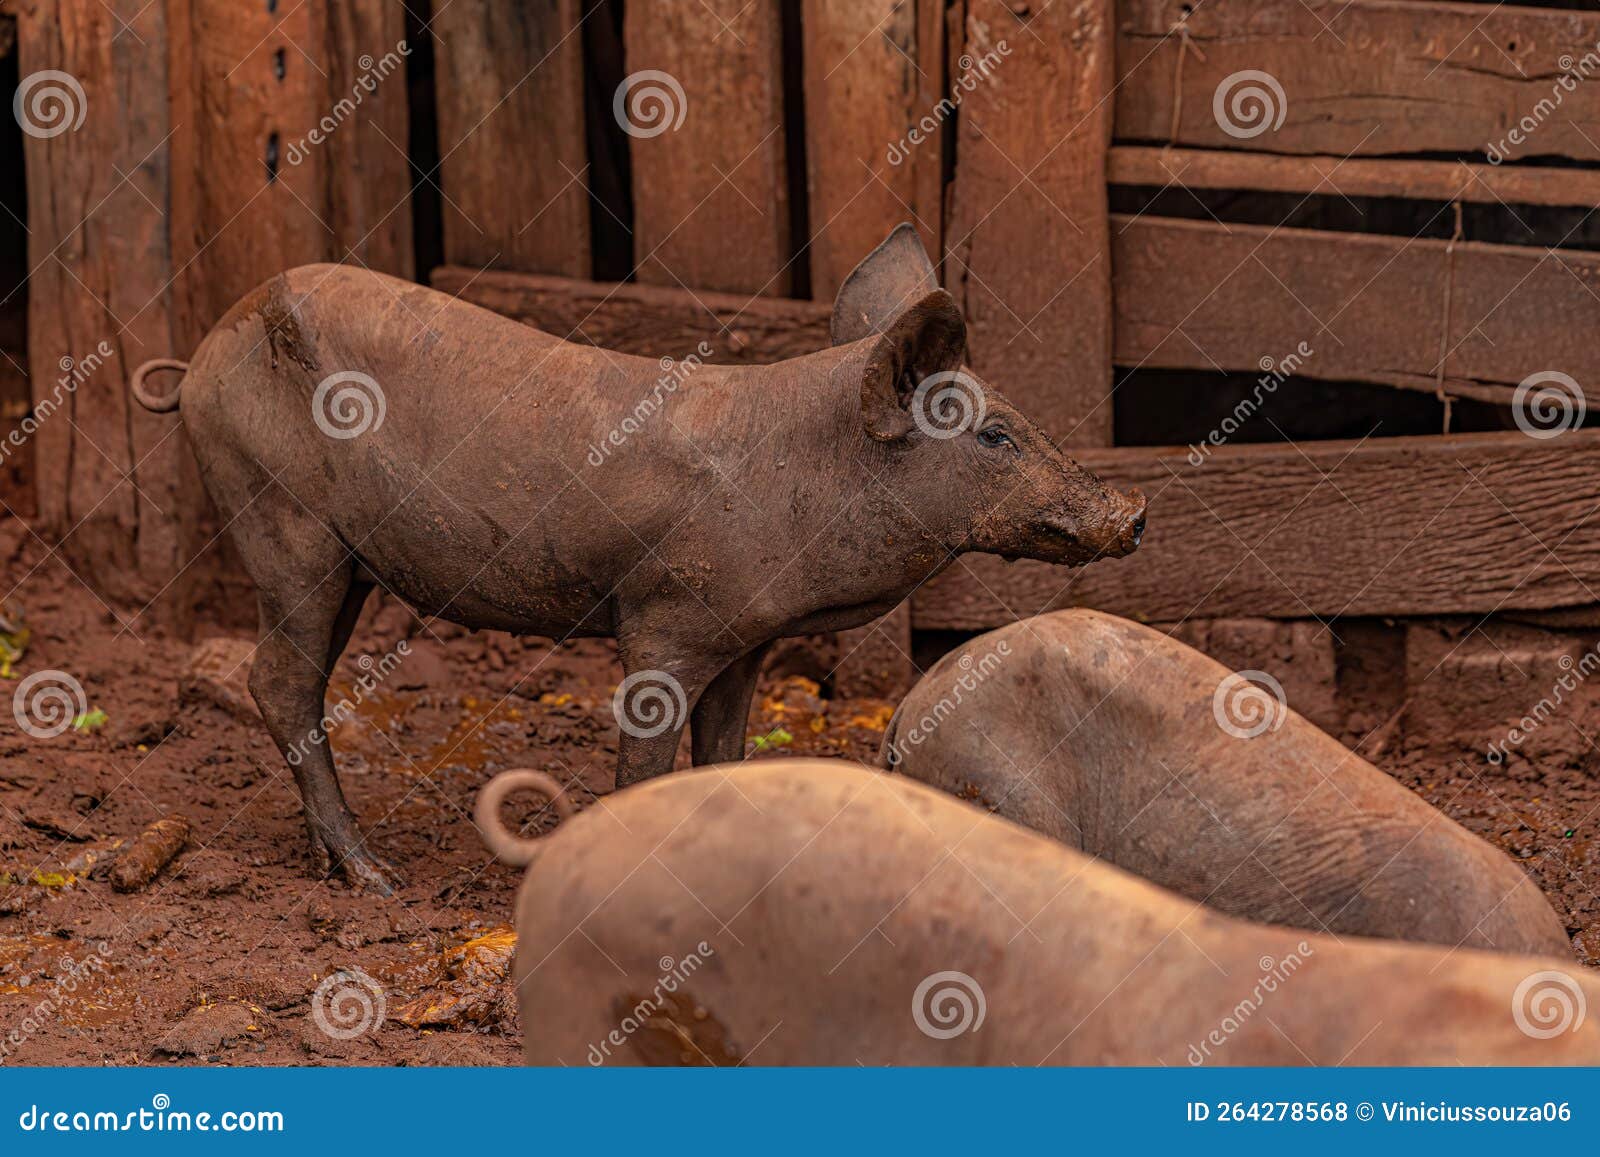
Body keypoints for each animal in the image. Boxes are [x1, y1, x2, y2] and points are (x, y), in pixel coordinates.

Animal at [128, 225, 1145, 891]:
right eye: (997, 436)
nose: (1134, 512)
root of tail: (201, 358)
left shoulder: (747, 642)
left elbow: (724, 750)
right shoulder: (665, 619)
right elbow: (646, 758)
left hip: (344, 559)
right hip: (280, 519)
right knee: (276, 680)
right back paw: (374, 877)